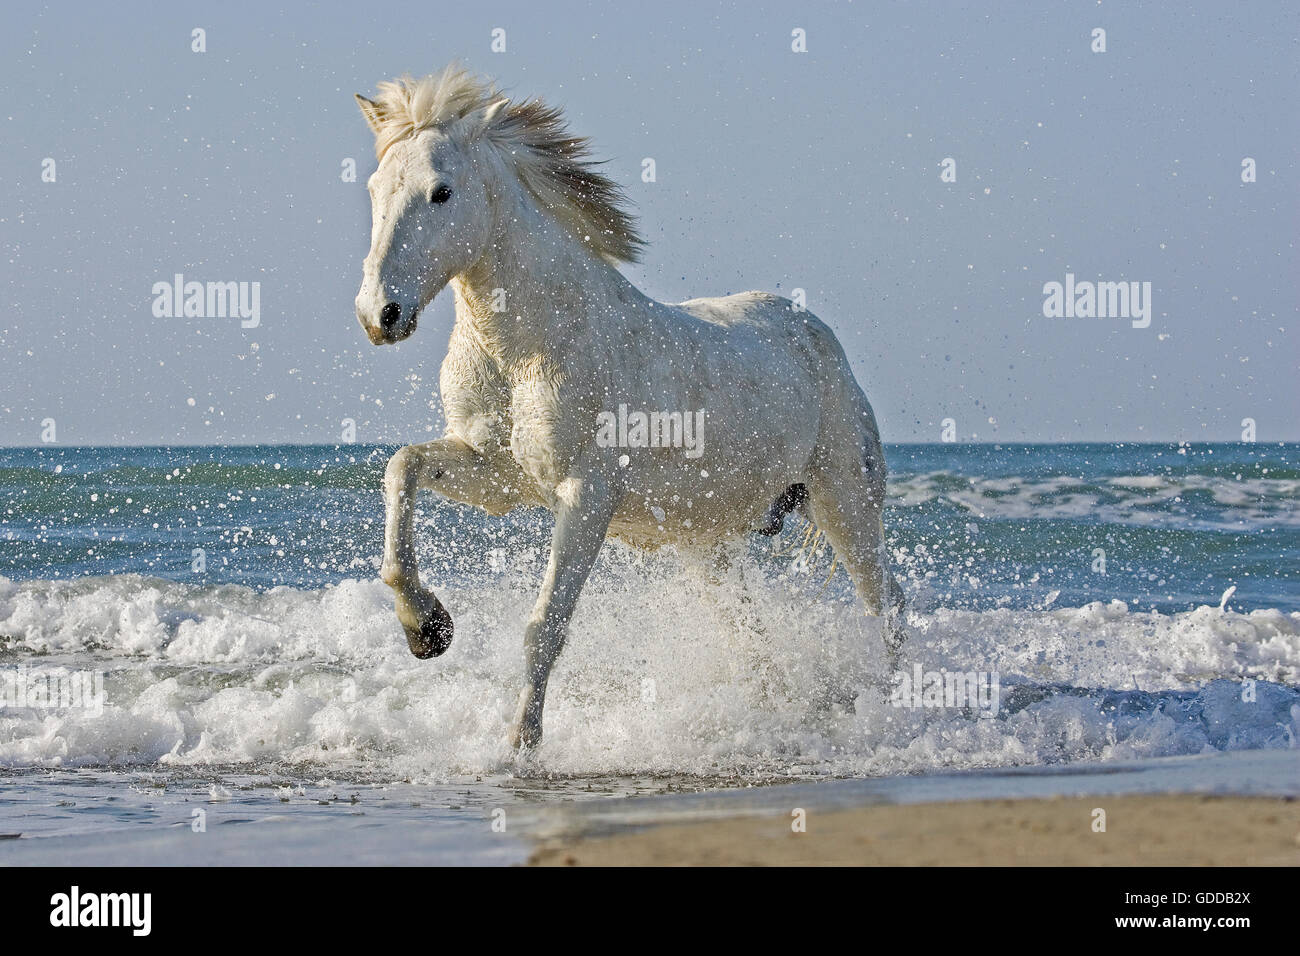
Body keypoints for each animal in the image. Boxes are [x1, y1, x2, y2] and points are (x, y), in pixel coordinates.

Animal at [352, 65, 905, 749]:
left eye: (441, 193)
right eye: (375, 188)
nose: (379, 314)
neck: (529, 346)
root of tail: (818, 335)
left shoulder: (585, 495)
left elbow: (544, 628)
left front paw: (519, 747)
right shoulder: (496, 475)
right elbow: (401, 468)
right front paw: (425, 628)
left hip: (844, 500)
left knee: (884, 602)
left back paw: (888, 705)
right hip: (707, 544)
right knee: (753, 636)